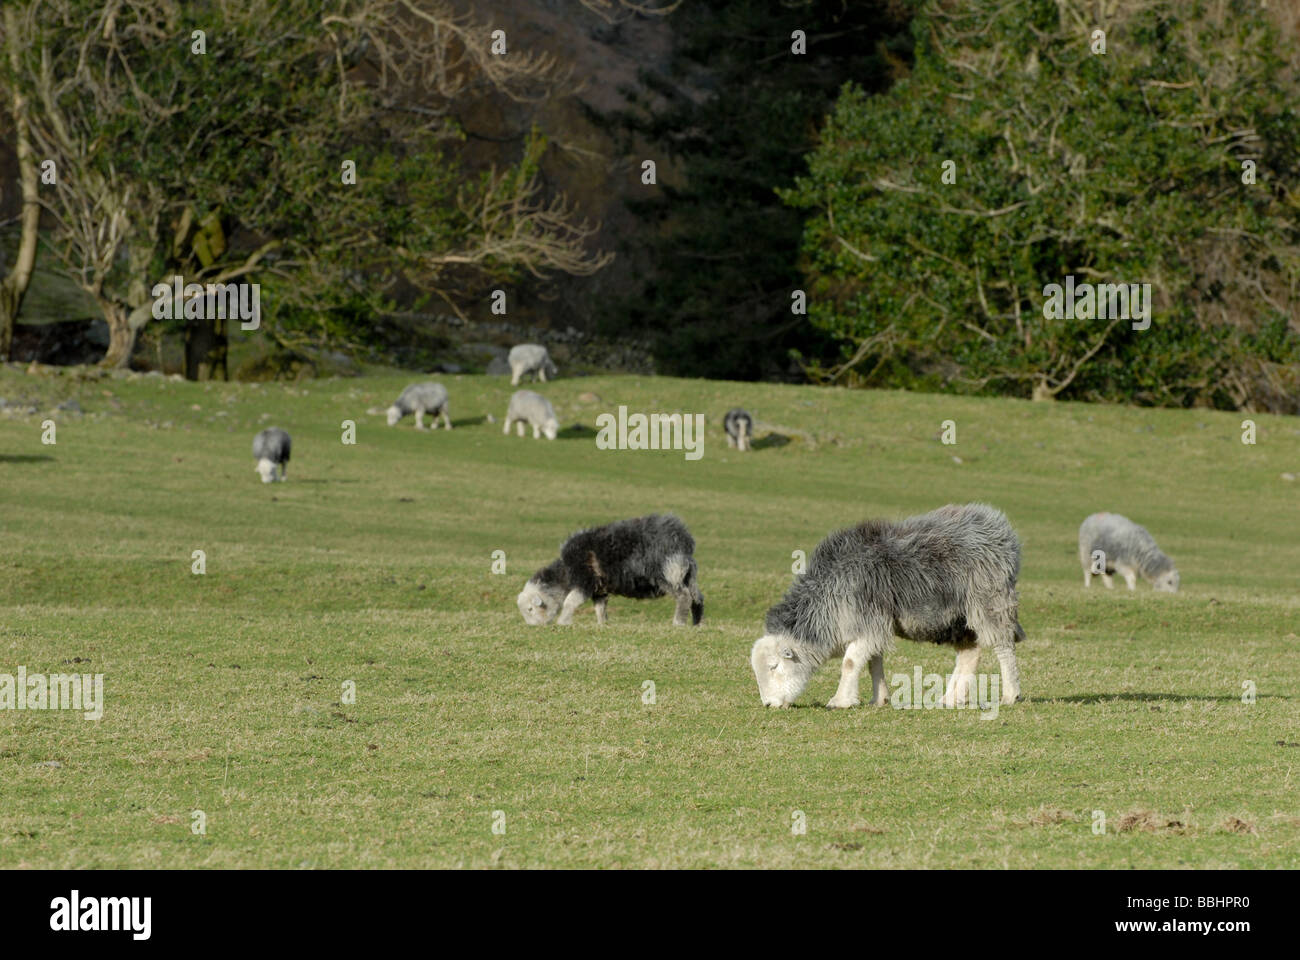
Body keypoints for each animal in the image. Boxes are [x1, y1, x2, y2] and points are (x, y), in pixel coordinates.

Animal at [517, 514, 704, 627]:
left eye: (530, 609)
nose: (533, 627)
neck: (565, 572)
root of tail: (682, 538)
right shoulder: (599, 590)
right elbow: (600, 608)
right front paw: (602, 625)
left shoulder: (585, 581)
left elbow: (570, 601)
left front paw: (563, 622)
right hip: (687, 574)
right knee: (697, 597)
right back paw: (697, 623)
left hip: (667, 573)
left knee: (684, 596)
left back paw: (678, 623)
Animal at [750, 503, 1025, 709]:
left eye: (774, 666)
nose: (768, 704)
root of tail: (999, 528)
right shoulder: (873, 625)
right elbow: (873, 662)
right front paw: (879, 699)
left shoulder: (868, 622)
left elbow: (850, 662)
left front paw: (840, 700)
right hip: (958, 619)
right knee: (970, 652)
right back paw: (951, 698)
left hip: (990, 601)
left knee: (1003, 646)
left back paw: (1010, 694)